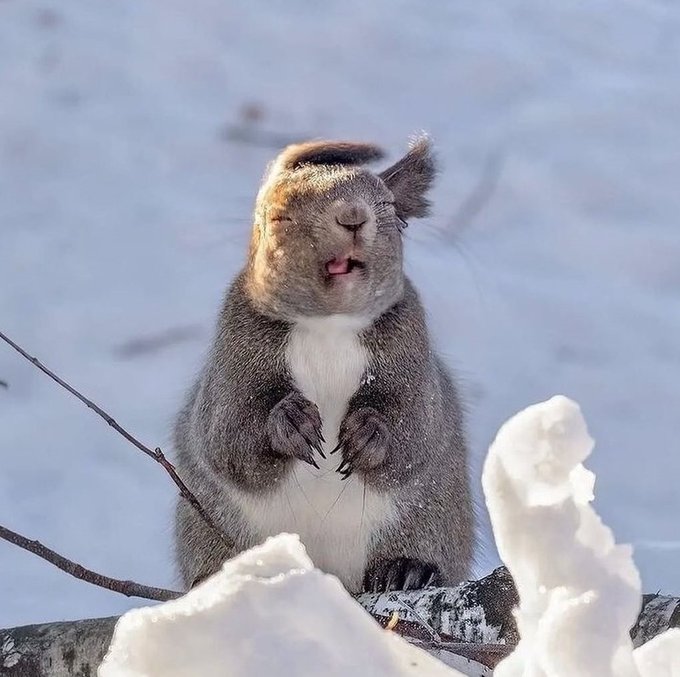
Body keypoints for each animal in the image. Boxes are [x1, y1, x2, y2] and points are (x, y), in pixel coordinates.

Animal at [173, 136, 473, 593]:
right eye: (277, 215)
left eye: (387, 206)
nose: (352, 217)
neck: (329, 326)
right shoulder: (233, 354)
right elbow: (227, 437)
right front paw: (289, 422)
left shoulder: (411, 353)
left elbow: (416, 428)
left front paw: (370, 432)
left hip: (431, 519)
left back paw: (407, 569)